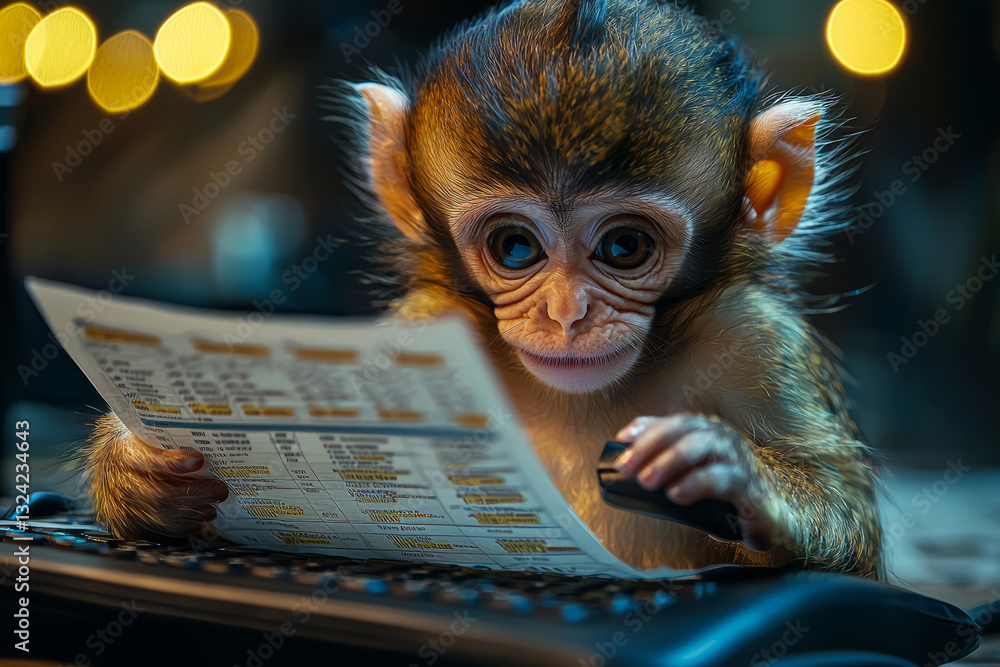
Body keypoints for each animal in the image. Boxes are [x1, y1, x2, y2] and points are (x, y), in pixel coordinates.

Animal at [80, 0, 883, 579]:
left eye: (624, 247)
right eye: (514, 248)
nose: (566, 314)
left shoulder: (754, 336)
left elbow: (855, 542)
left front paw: (732, 475)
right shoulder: (425, 323)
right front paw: (144, 468)